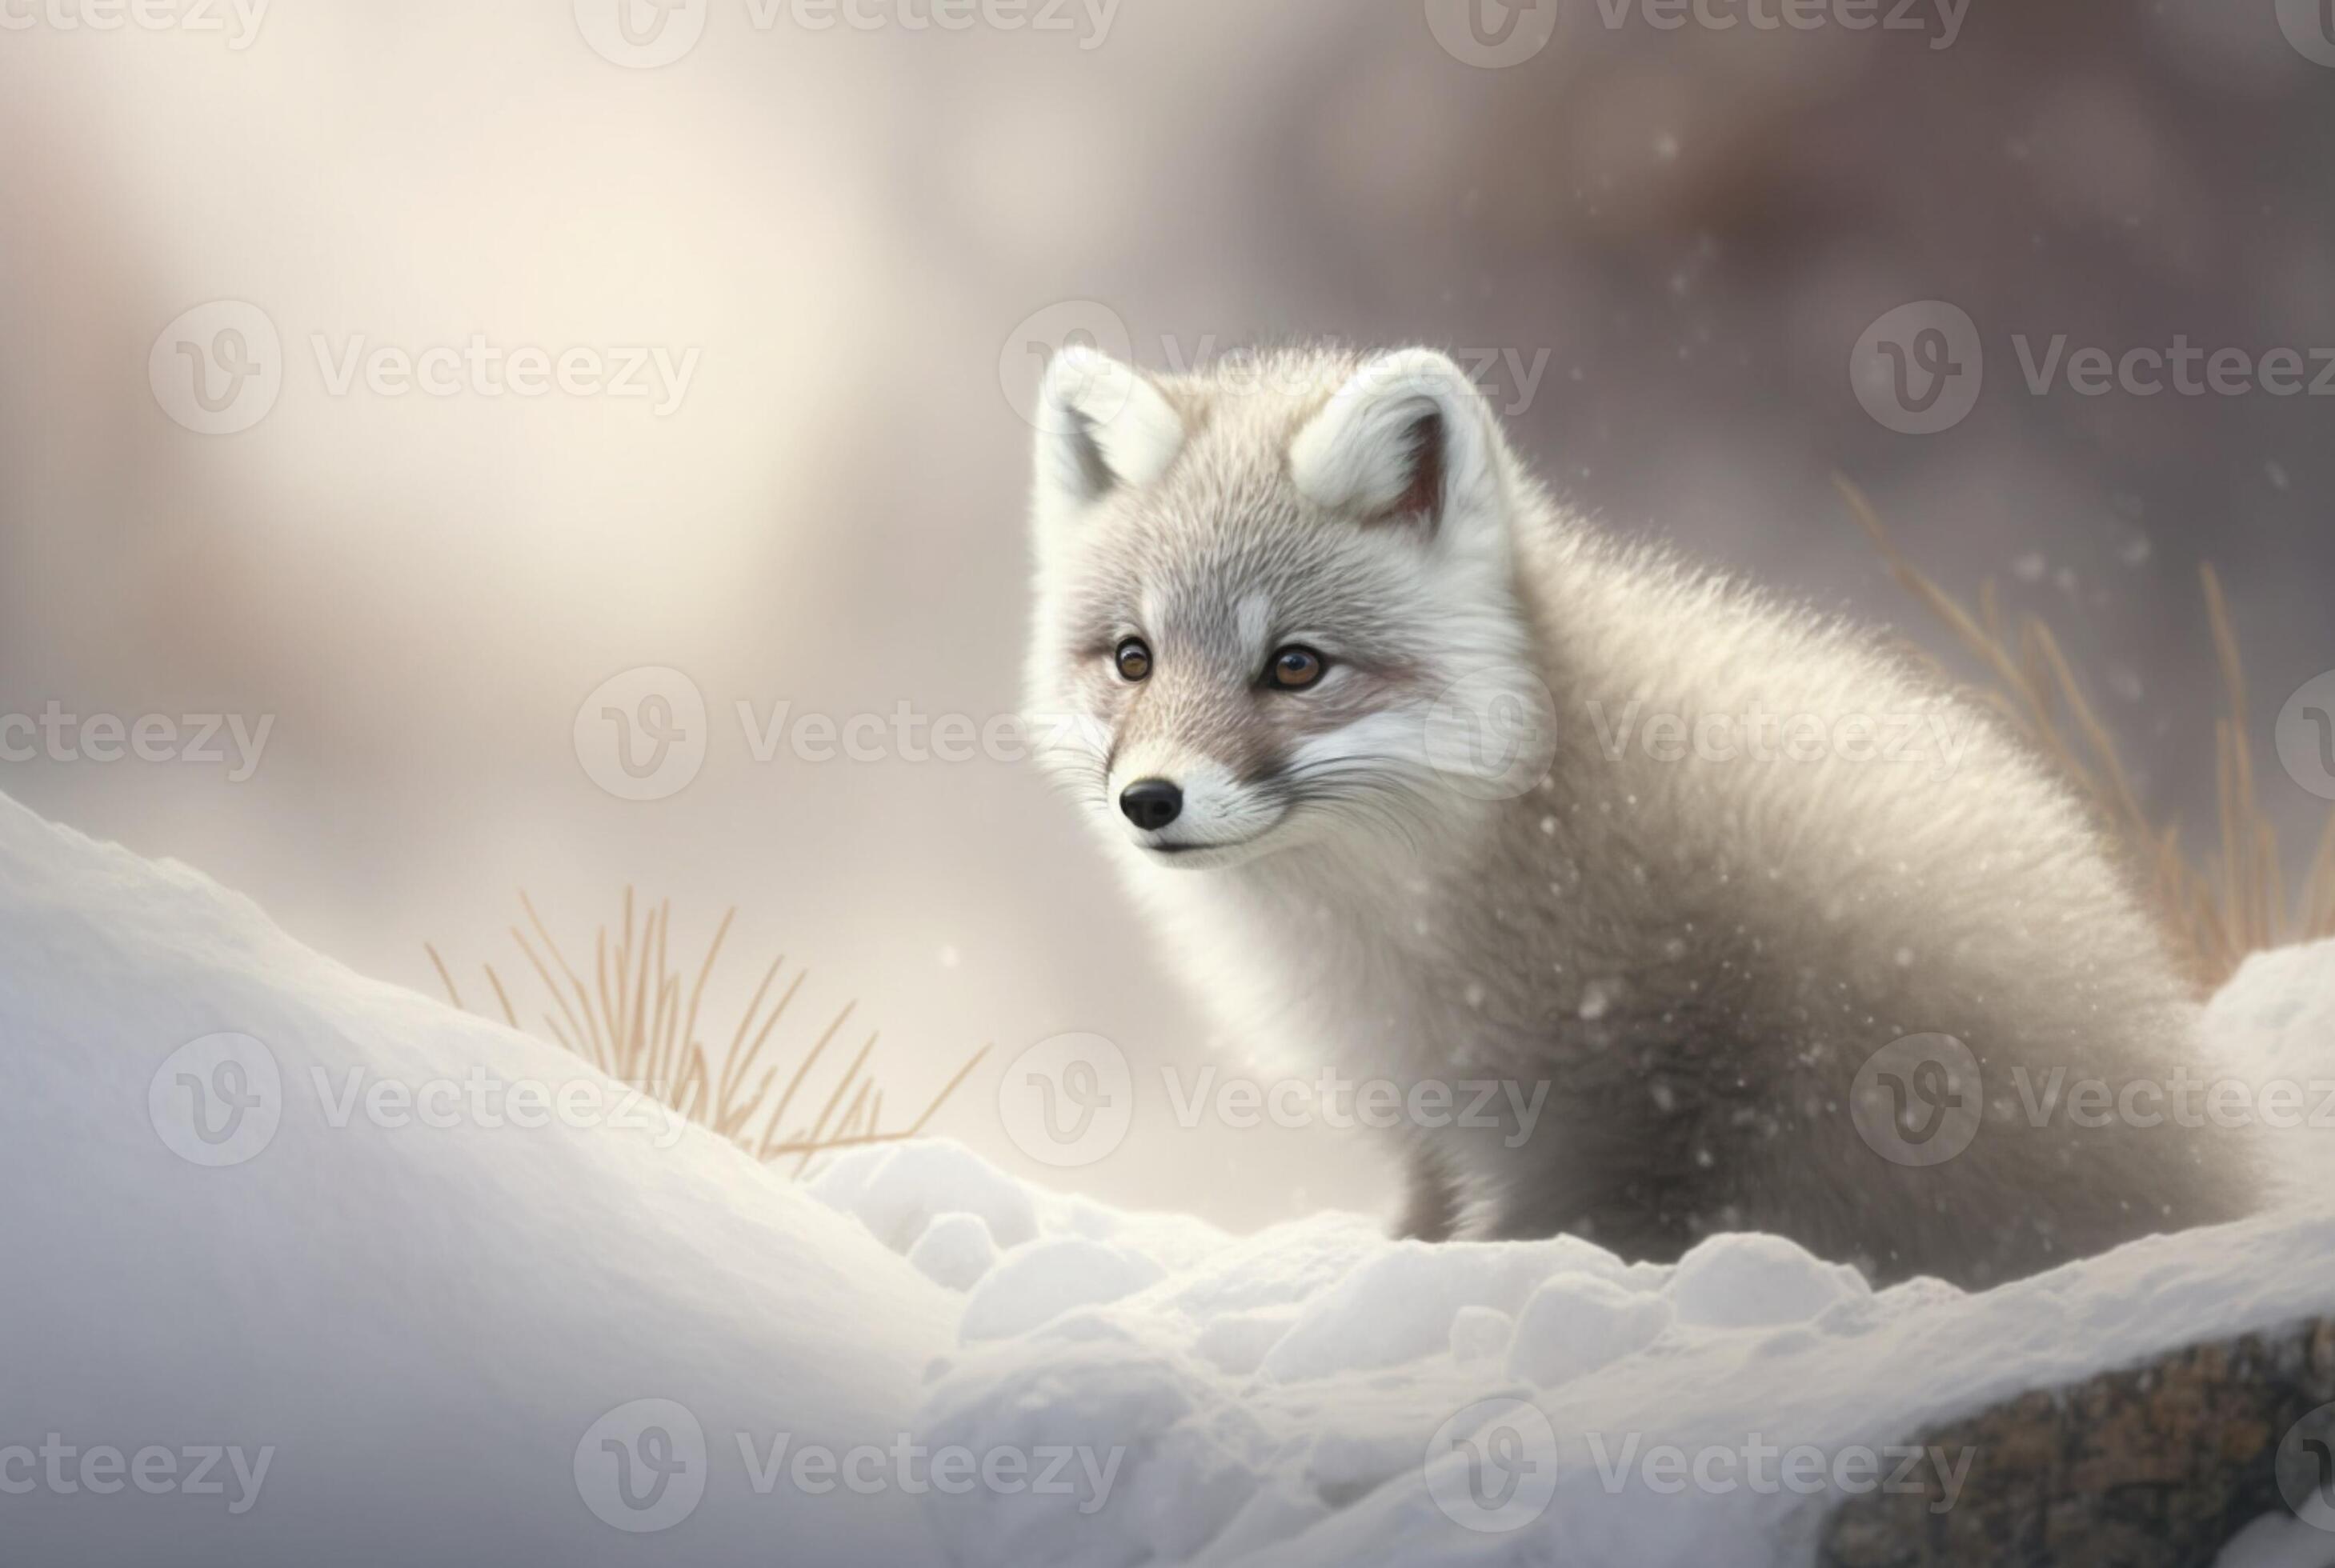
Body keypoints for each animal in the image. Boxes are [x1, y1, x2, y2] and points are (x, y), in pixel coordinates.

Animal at [1022, 341, 2258, 1288]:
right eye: (1132, 658)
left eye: (1293, 666)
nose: (1149, 801)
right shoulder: (1442, 1134)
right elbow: (1421, 1223)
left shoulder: (1640, 1114)